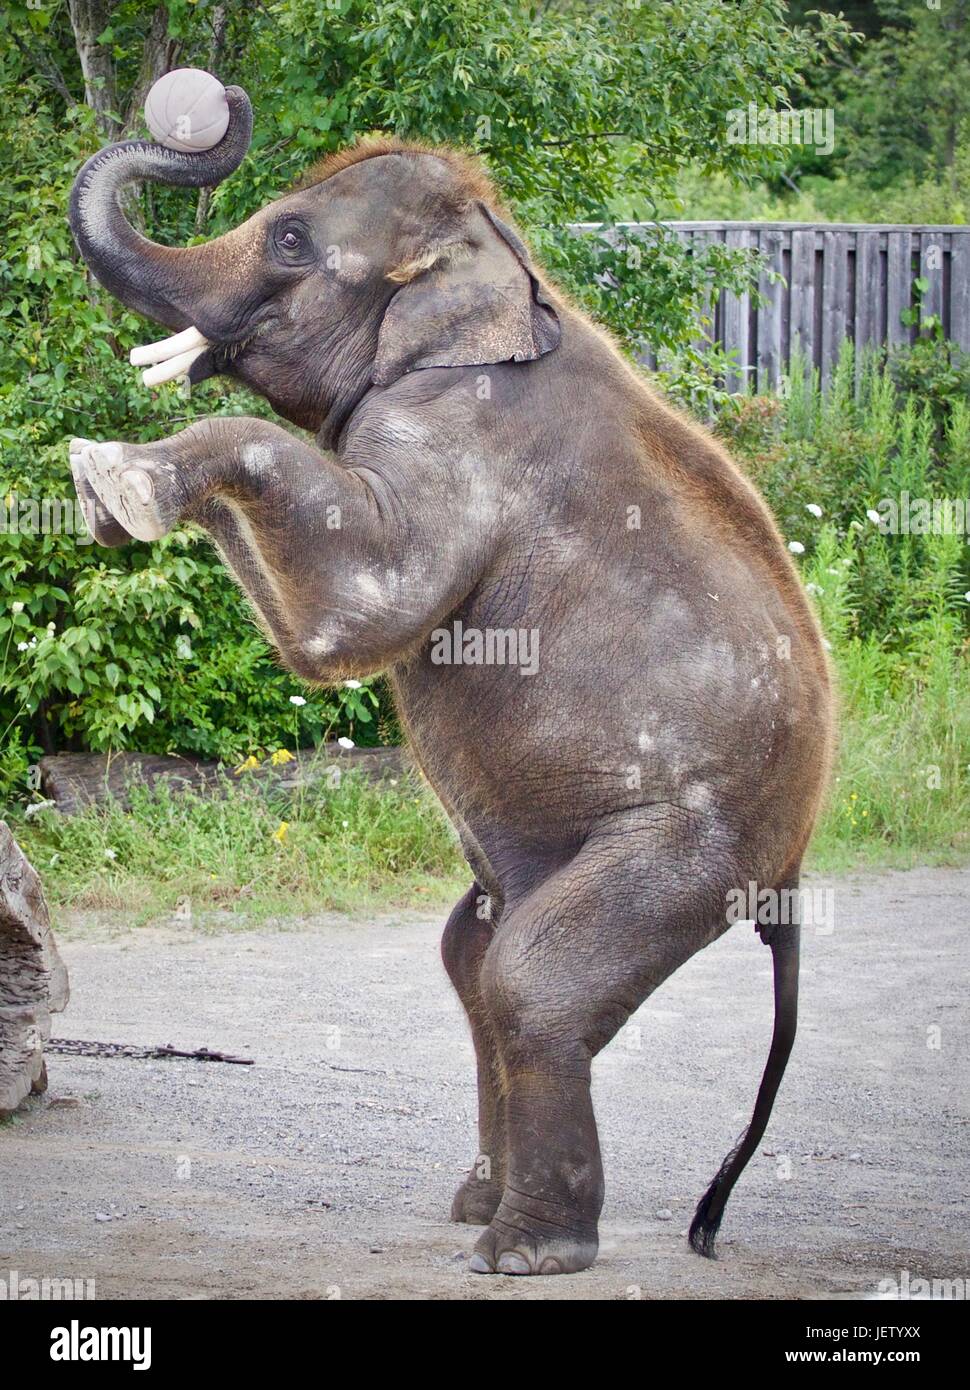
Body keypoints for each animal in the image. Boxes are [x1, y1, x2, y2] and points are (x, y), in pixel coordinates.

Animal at [67, 83, 835, 1277]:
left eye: (290, 242)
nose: (216, 105)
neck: (497, 265)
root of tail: (793, 870)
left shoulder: (459, 439)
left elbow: (363, 607)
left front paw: (116, 481)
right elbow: (324, 631)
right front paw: (107, 494)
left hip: (691, 840)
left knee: (527, 976)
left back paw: (519, 1255)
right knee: (472, 962)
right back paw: (478, 1207)